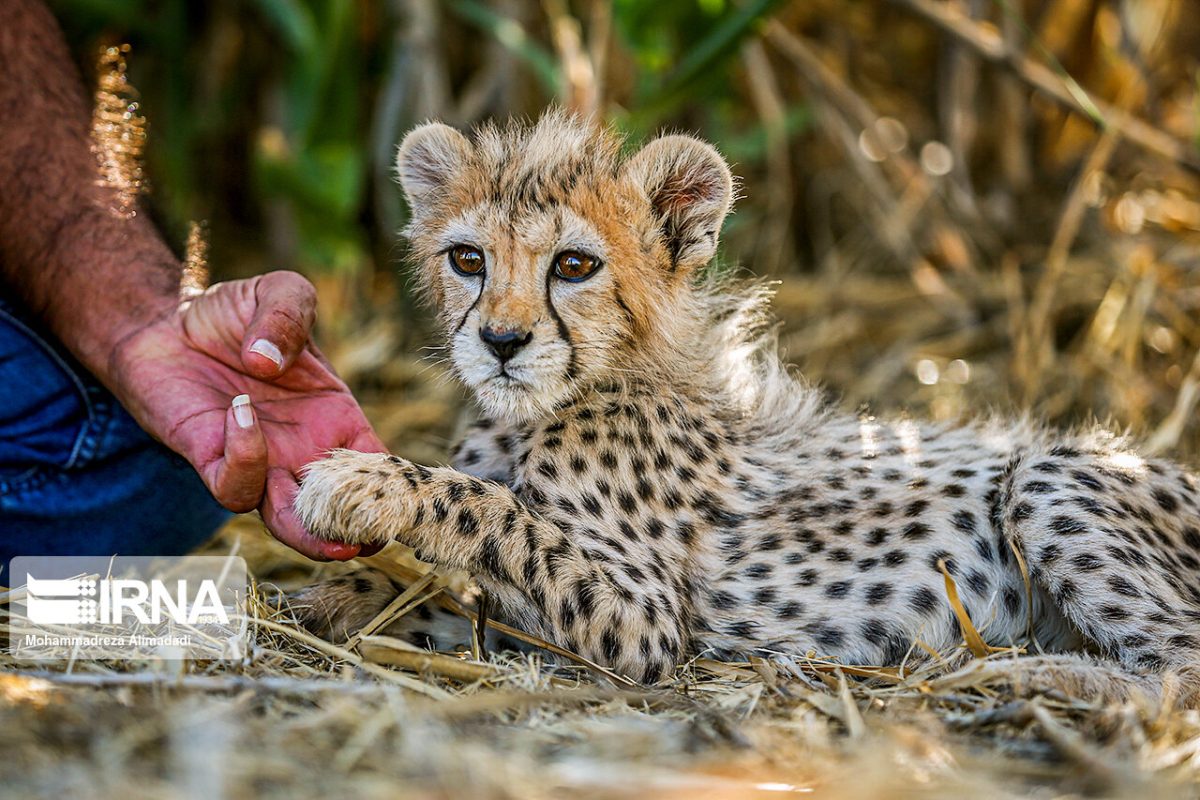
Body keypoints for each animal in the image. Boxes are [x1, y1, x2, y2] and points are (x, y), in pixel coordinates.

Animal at [291, 109, 1200, 697]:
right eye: (468, 259)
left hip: (1051, 474)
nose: (501, 341)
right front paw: (333, 596)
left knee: (1177, 669)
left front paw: (364, 485)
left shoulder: (647, 623)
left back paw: (1031, 675)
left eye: (574, 266)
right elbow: (435, 588)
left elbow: (493, 510)